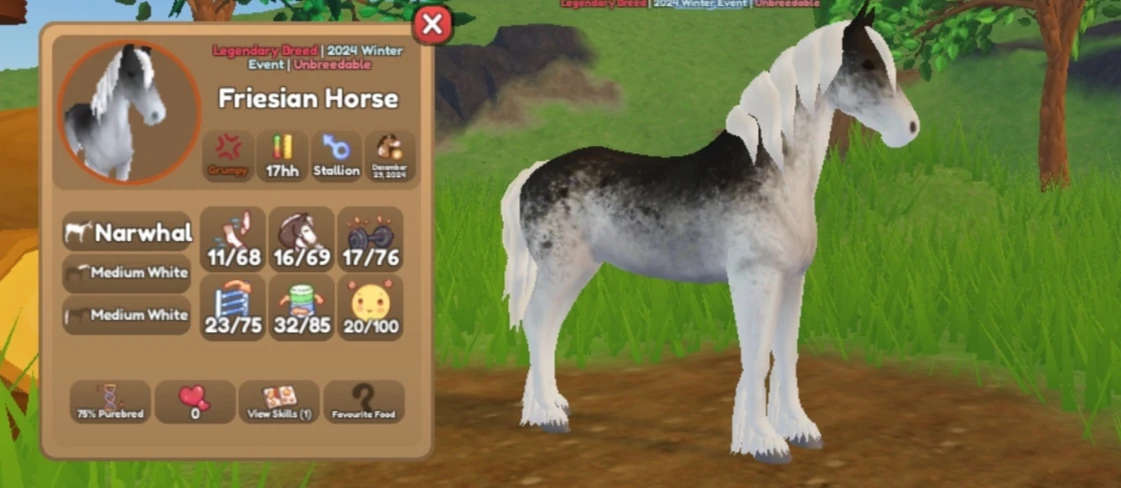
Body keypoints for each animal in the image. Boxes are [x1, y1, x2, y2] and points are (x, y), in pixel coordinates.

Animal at [64, 43, 167, 182]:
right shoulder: (100, 170)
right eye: (130, 73)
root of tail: (72, 108)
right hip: (73, 145)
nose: (157, 114)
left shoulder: (123, 166)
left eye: (152, 76)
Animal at [500, 5, 918, 464]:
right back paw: (547, 416)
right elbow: (757, 357)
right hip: (562, 269)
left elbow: (786, 354)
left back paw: (551, 405)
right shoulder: (755, 279)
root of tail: (534, 173)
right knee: (538, 323)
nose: (910, 128)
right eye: (866, 64)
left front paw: (799, 429)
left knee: (548, 328)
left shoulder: (792, 280)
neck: (772, 173)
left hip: (577, 269)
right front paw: (764, 442)